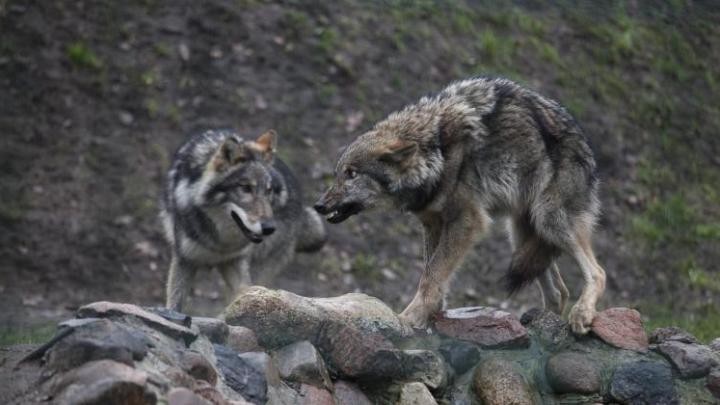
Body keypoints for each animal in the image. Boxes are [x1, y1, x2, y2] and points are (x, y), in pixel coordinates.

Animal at [161, 129, 326, 312]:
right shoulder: (184, 260)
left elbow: (246, 294)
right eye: (246, 188)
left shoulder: (237, 261)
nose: (269, 228)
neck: (221, 243)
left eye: (269, 190)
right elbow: (174, 303)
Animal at [315, 77, 605, 334]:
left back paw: (581, 315)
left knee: (597, 273)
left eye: (352, 174)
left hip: (549, 220)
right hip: (521, 236)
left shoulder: (467, 221)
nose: (318, 205)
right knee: (558, 292)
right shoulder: (432, 224)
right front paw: (429, 317)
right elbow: (432, 273)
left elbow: (432, 274)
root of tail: (586, 145)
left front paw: (410, 317)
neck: (437, 149)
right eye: (338, 173)